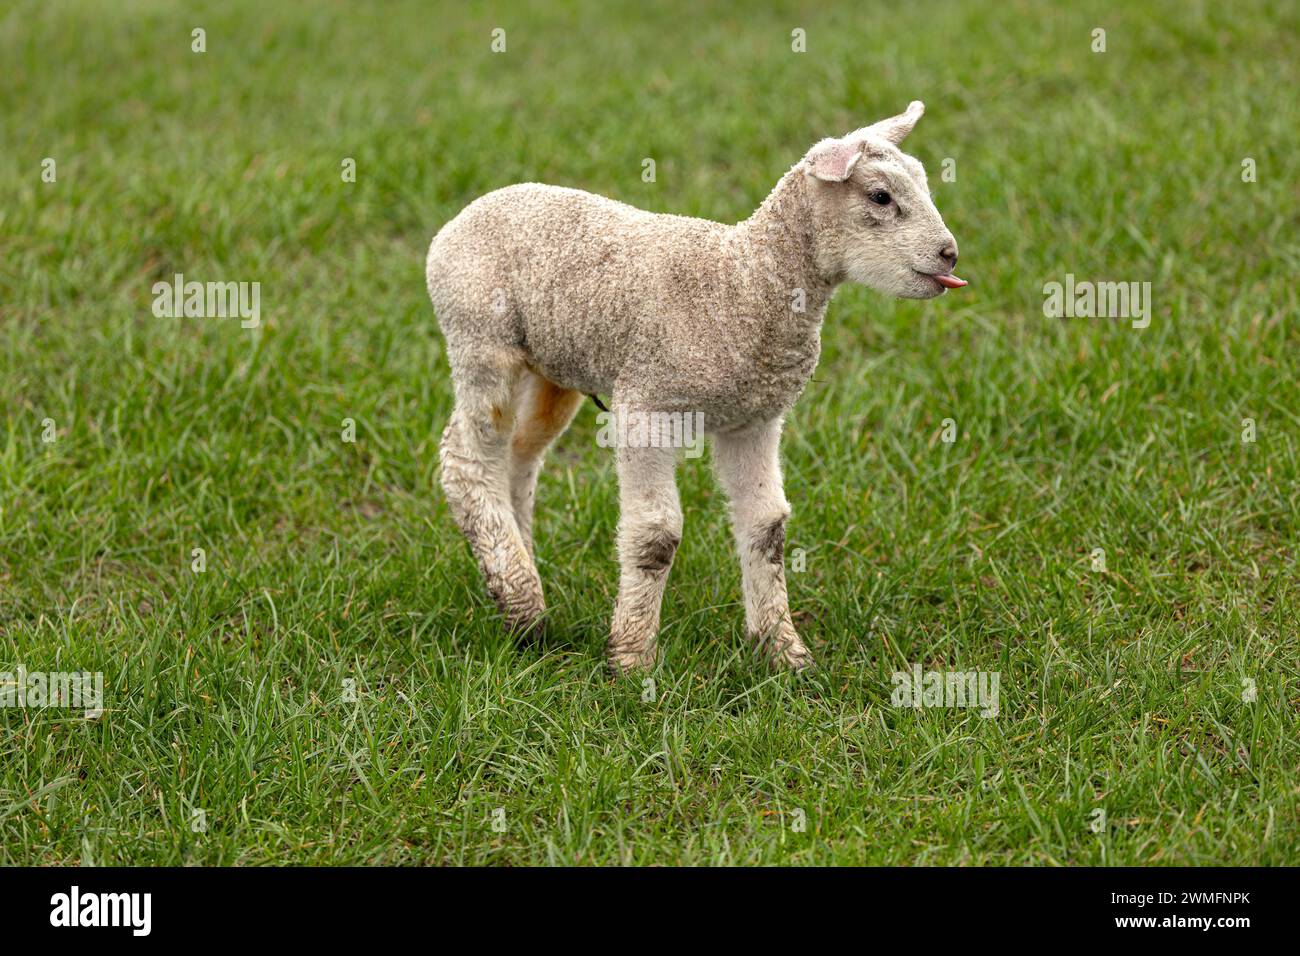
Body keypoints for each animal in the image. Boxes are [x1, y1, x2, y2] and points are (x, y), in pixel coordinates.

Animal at [425, 100, 965, 674]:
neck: (742, 283)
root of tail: (464, 216)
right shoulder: (647, 406)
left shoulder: (754, 418)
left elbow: (767, 528)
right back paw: (523, 603)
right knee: (467, 458)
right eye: (880, 197)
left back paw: (517, 580)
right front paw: (632, 659)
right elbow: (655, 536)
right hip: (480, 337)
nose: (949, 255)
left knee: (518, 456)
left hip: (551, 366)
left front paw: (783, 652)